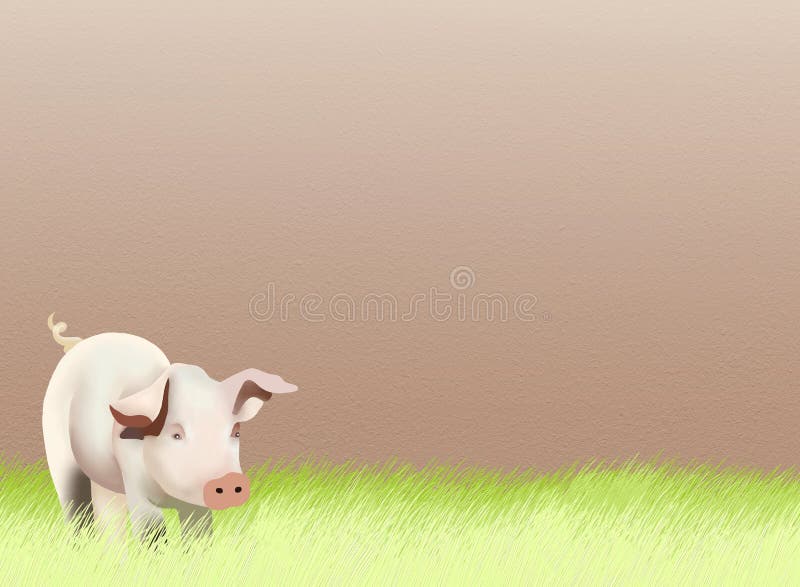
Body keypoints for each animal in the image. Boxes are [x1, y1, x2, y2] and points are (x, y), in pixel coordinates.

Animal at [42, 313, 298, 545]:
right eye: (176, 434)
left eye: (236, 431)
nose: (228, 480)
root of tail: (78, 344)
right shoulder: (134, 482)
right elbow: (152, 534)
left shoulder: (195, 506)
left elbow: (199, 537)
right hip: (57, 446)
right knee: (76, 510)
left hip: (105, 480)